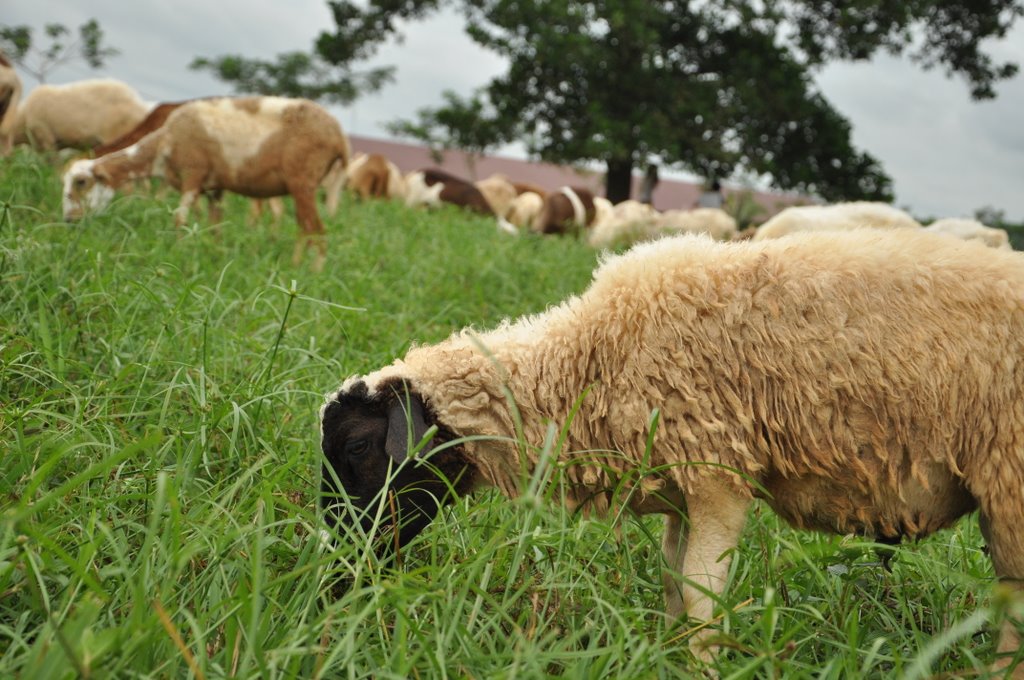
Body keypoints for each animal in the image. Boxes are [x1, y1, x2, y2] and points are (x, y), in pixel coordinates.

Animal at [61, 96, 350, 271]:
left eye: (81, 182)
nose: (68, 221)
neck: (163, 145)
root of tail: (339, 137)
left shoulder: (193, 175)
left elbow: (179, 219)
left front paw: (177, 253)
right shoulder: (213, 190)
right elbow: (215, 228)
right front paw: (216, 256)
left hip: (303, 182)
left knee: (318, 232)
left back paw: (311, 273)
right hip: (302, 186)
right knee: (305, 229)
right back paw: (296, 265)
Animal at [321, 228, 1024, 676]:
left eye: (357, 444)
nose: (336, 578)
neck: (582, 365)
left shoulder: (717, 473)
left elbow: (701, 598)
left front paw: (702, 666)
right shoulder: (680, 486)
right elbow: (670, 583)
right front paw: (665, 657)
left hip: (1011, 482)